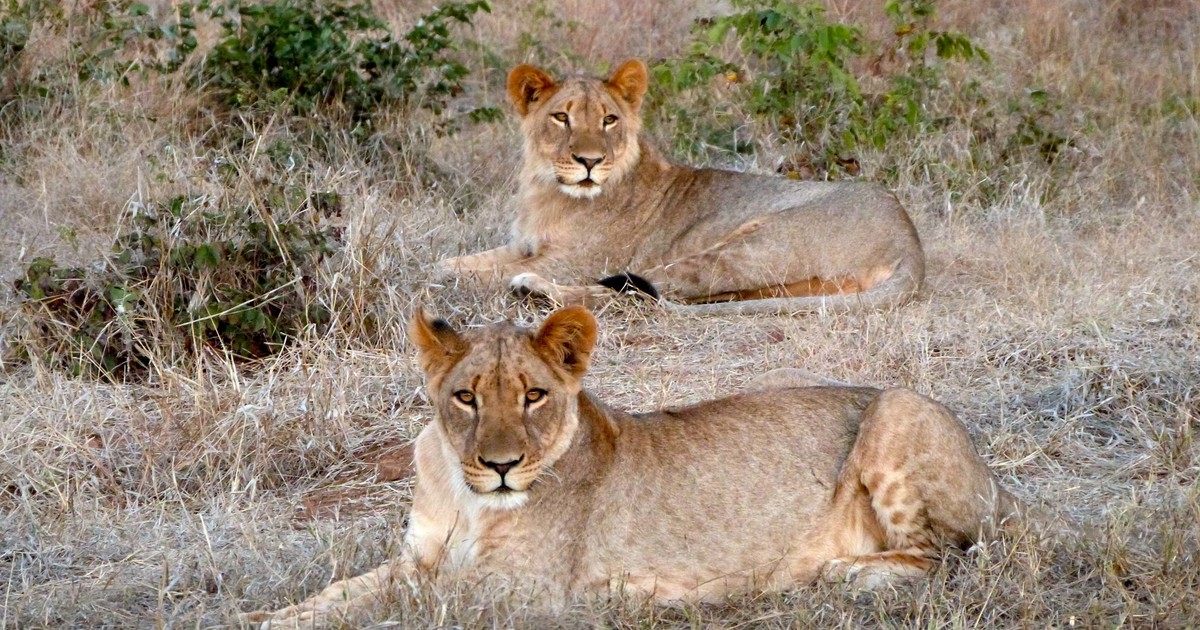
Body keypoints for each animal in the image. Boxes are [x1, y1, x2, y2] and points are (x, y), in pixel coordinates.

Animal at [243, 306, 1022, 628]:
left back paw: (841, 573)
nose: (501, 466)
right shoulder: (421, 557)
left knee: (947, 555)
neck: (465, 495)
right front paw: (264, 613)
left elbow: (405, 605)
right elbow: (343, 592)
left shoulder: (519, 593)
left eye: (534, 396)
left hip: (897, 406)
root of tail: (998, 480)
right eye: (466, 397)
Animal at [435, 59, 925, 314]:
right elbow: (453, 263)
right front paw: (447, 267)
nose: (590, 162)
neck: (548, 192)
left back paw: (532, 289)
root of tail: (911, 241)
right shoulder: (523, 245)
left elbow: (474, 273)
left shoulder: (573, 261)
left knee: (645, 291)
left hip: (750, 244)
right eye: (561, 117)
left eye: (609, 120)